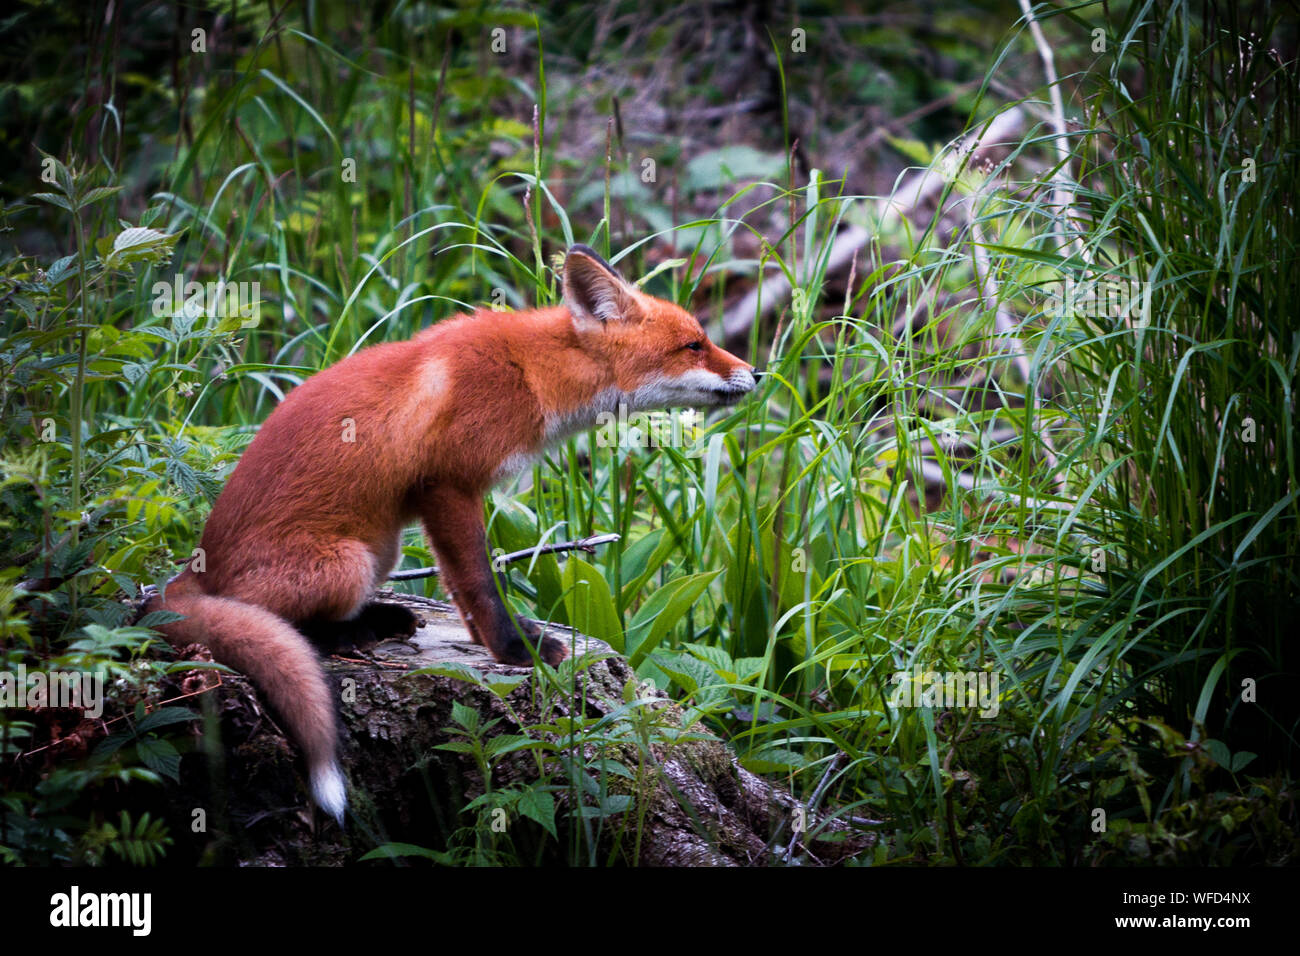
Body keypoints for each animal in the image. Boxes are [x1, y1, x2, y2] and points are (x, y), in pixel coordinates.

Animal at [146, 245, 757, 822]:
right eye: (694, 345)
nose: (757, 374)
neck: (531, 372)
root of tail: (194, 572)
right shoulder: (449, 483)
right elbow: (479, 581)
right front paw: (514, 649)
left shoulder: (439, 498)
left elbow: (460, 588)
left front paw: (485, 640)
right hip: (350, 560)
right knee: (286, 628)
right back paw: (360, 630)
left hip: (384, 547)